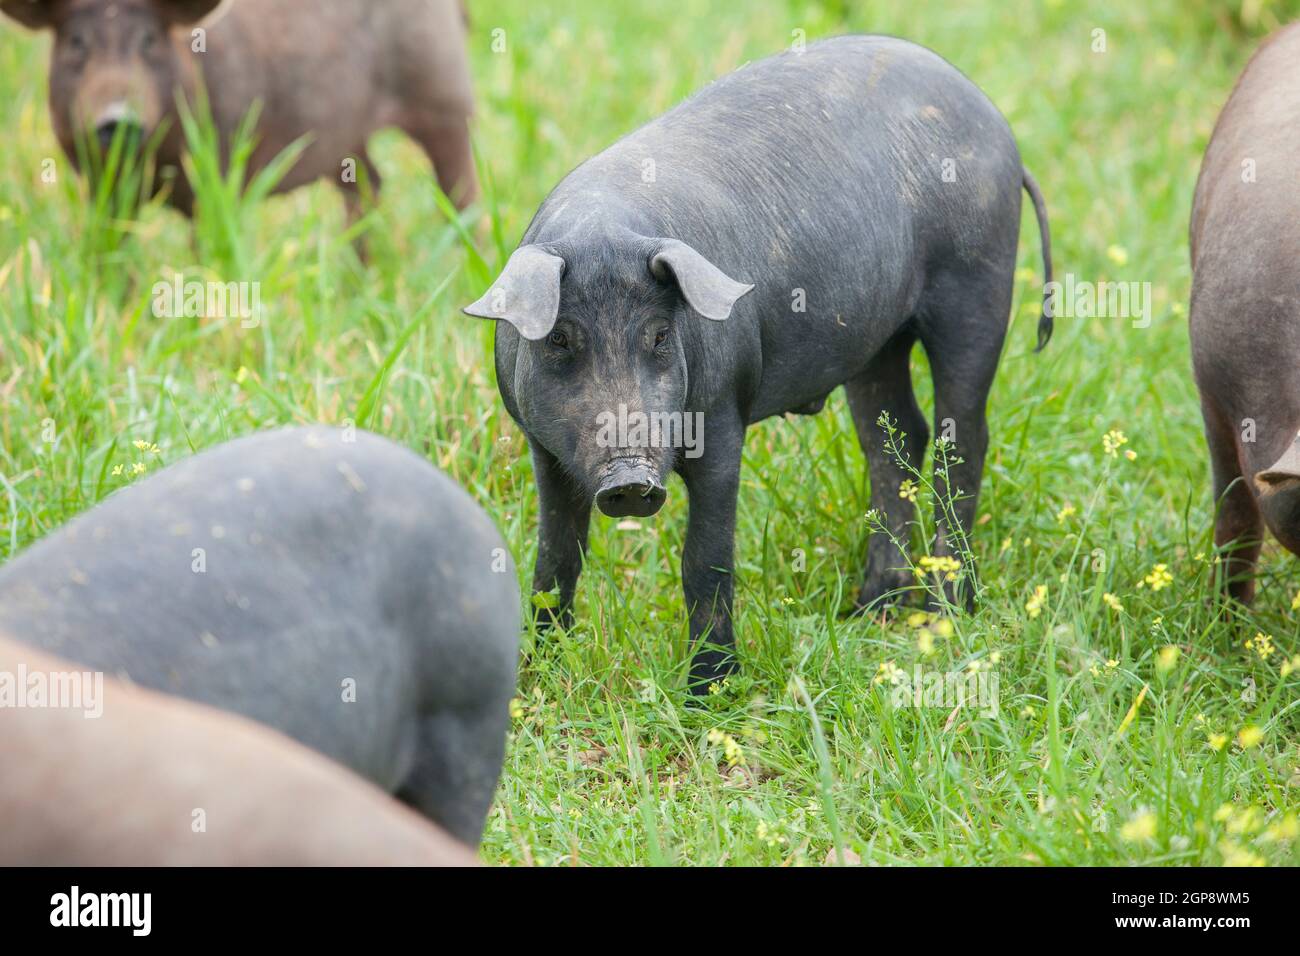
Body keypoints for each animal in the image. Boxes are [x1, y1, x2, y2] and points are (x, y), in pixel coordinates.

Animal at [0, 0, 478, 222]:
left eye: (149, 41)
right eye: (76, 42)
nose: (119, 118)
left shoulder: (221, 162)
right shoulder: (98, 183)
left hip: (444, 95)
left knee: (460, 190)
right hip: (346, 139)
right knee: (369, 185)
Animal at [464, 35, 1052, 692]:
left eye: (660, 335)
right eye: (561, 339)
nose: (630, 479)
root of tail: (998, 124)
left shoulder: (724, 411)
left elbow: (706, 558)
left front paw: (710, 691)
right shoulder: (543, 444)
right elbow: (556, 555)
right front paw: (536, 673)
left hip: (978, 281)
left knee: (962, 438)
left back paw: (945, 615)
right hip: (878, 342)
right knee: (895, 436)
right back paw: (870, 610)